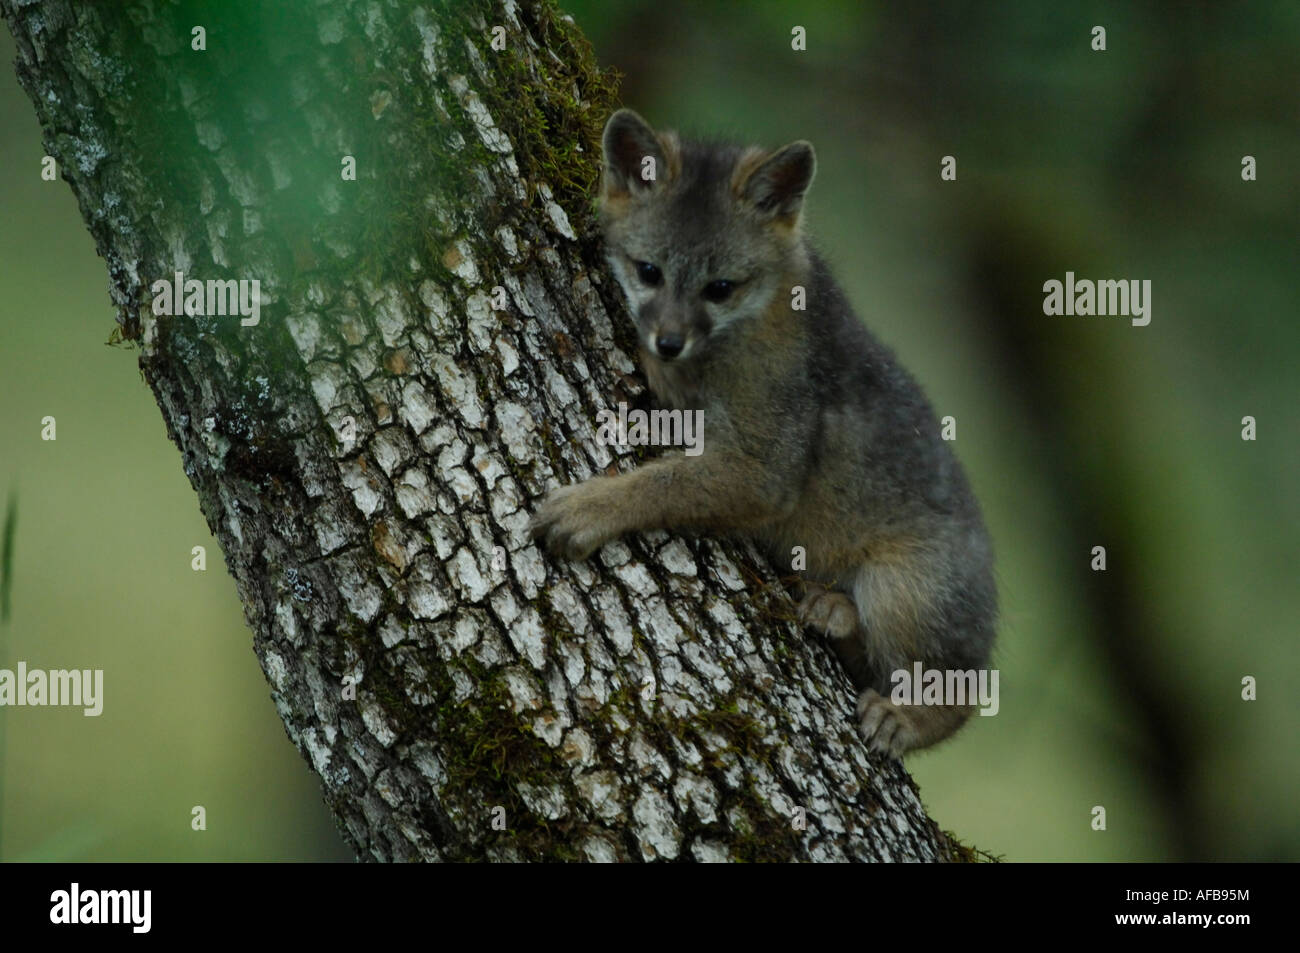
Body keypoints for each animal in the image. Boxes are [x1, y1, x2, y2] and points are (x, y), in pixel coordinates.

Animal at [529, 109, 997, 757]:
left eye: (720, 288)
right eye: (649, 272)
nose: (667, 342)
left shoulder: (763, 469)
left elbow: (660, 483)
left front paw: (589, 507)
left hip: (899, 590)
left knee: (954, 702)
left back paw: (902, 717)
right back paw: (831, 609)